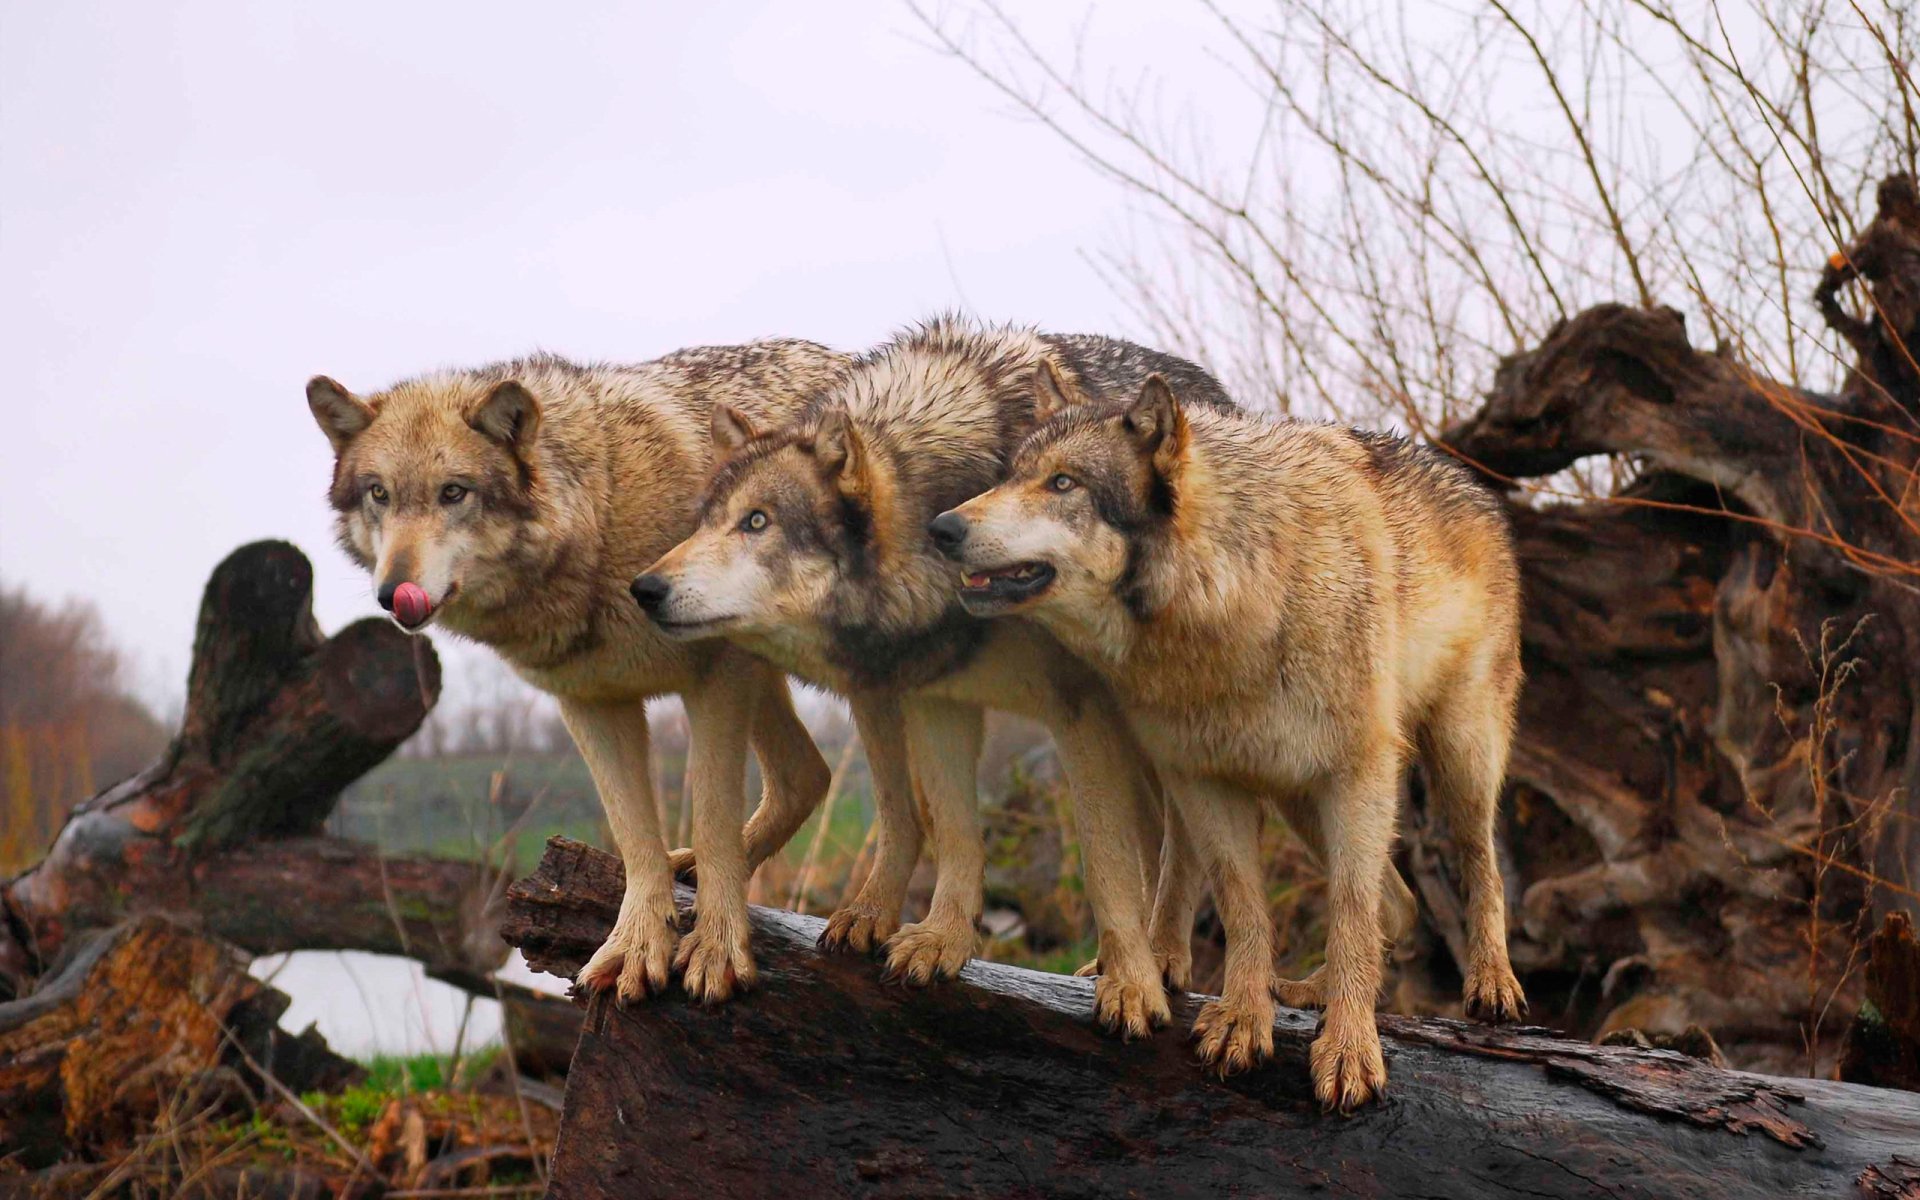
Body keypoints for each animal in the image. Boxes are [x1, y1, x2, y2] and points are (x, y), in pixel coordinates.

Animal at [305, 344, 849, 1006]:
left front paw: (718, 951)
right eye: (379, 494)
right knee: (807, 774)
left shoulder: (716, 678)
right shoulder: (590, 702)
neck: (601, 519)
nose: (391, 593)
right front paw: (637, 947)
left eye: (453, 493)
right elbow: (634, 836)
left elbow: (713, 814)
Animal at [631, 318, 1234, 1038]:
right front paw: (940, 937)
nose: (645, 589)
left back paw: (1162, 957)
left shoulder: (1077, 710)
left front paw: (1134, 988)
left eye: (757, 522)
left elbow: (1103, 860)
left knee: (1179, 843)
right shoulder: (934, 695)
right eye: (705, 522)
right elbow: (947, 823)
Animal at [931, 375, 1528, 1111]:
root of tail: (1473, 485)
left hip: (1457, 762)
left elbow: (1349, 914)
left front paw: (1349, 1049)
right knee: (1401, 901)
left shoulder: (1357, 774)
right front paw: (1245, 1018)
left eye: (1063, 482)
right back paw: (1308, 990)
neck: (1229, 599)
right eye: (1010, 476)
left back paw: (1491, 984)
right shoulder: (1203, 781)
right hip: (1301, 801)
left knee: (1478, 868)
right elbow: (1245, 907)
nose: (942, 528)